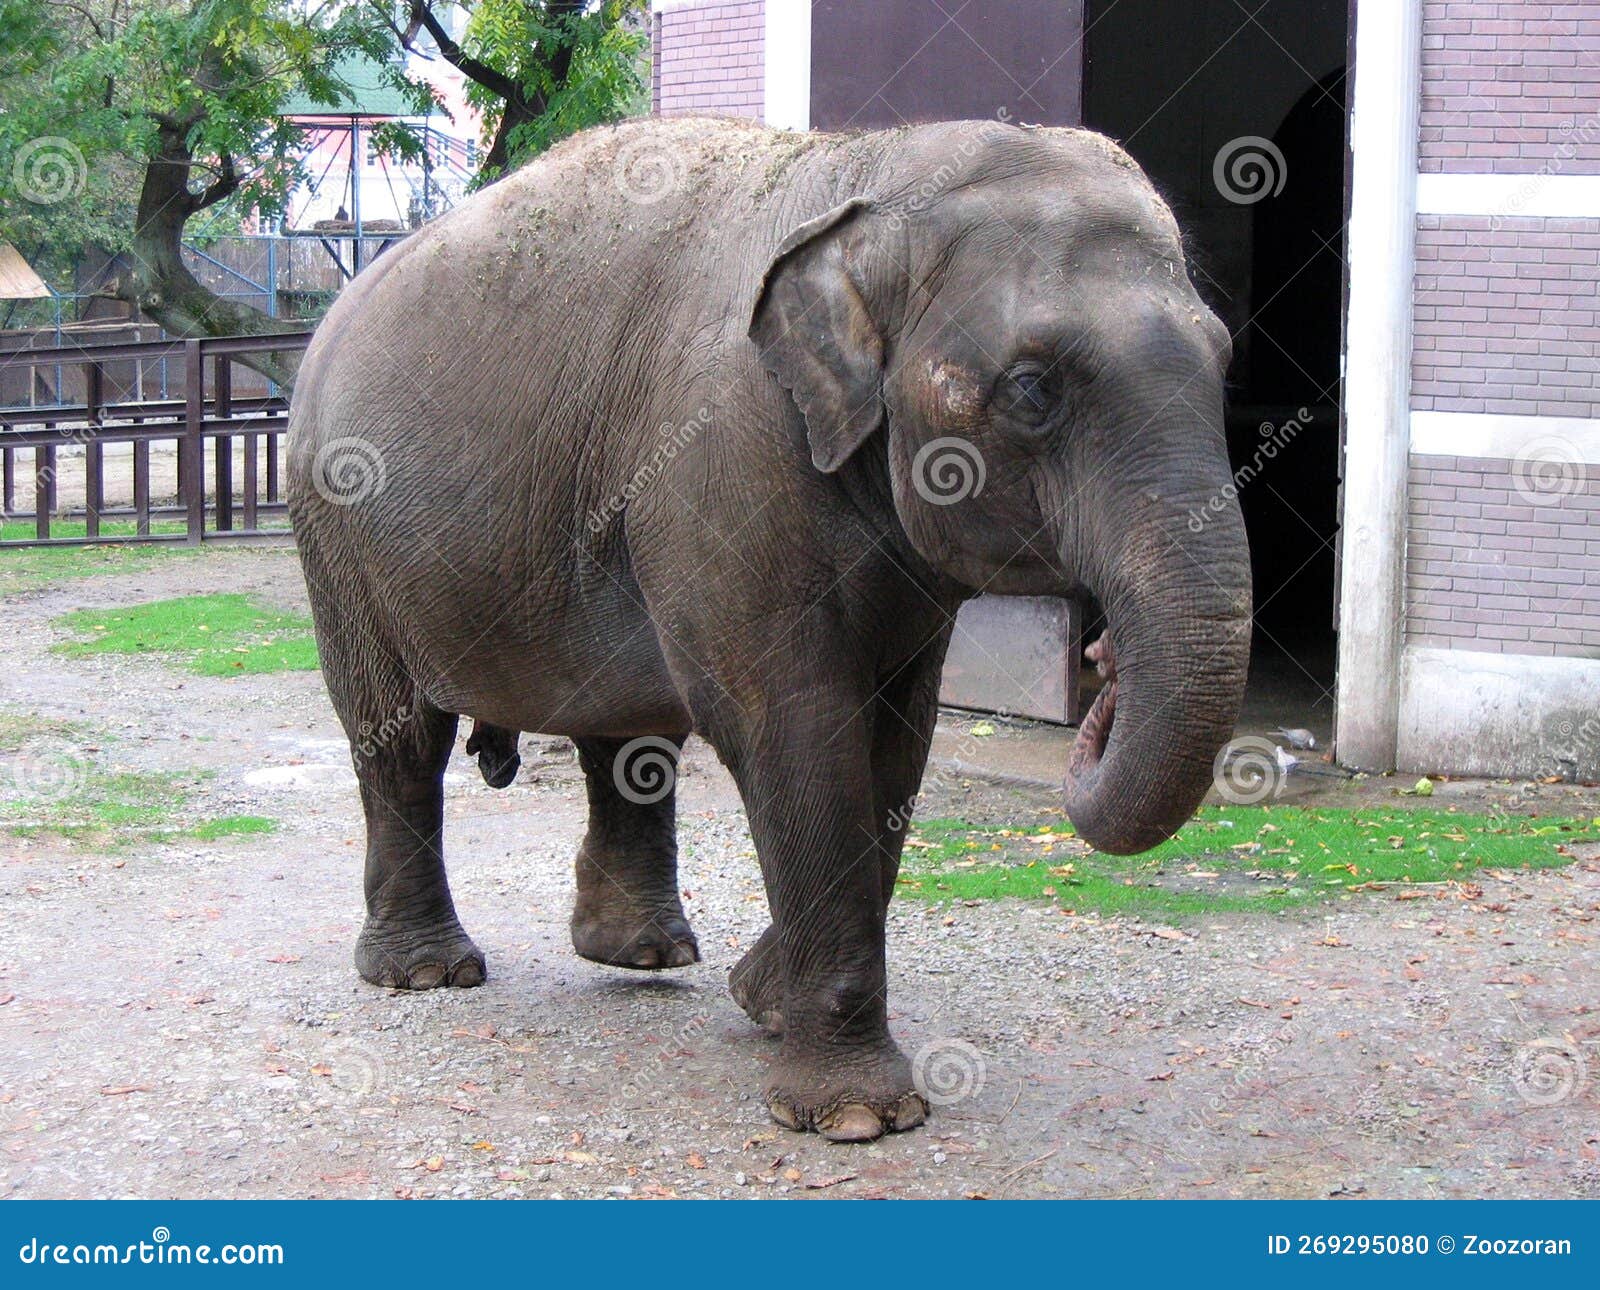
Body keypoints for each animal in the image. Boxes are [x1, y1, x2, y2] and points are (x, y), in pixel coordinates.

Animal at [286, 115, 1251, 1142]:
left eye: (1226, 362)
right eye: (1033, 388)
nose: (1101, 659)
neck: (872, 173)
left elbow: (894, 743)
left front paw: (764, 1003)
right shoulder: (722, 464)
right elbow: (795, 728)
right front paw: (858, 1116)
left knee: (627, 739)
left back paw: (643, 955)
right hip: (337, 536)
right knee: (397, 736)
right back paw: (429, 973)